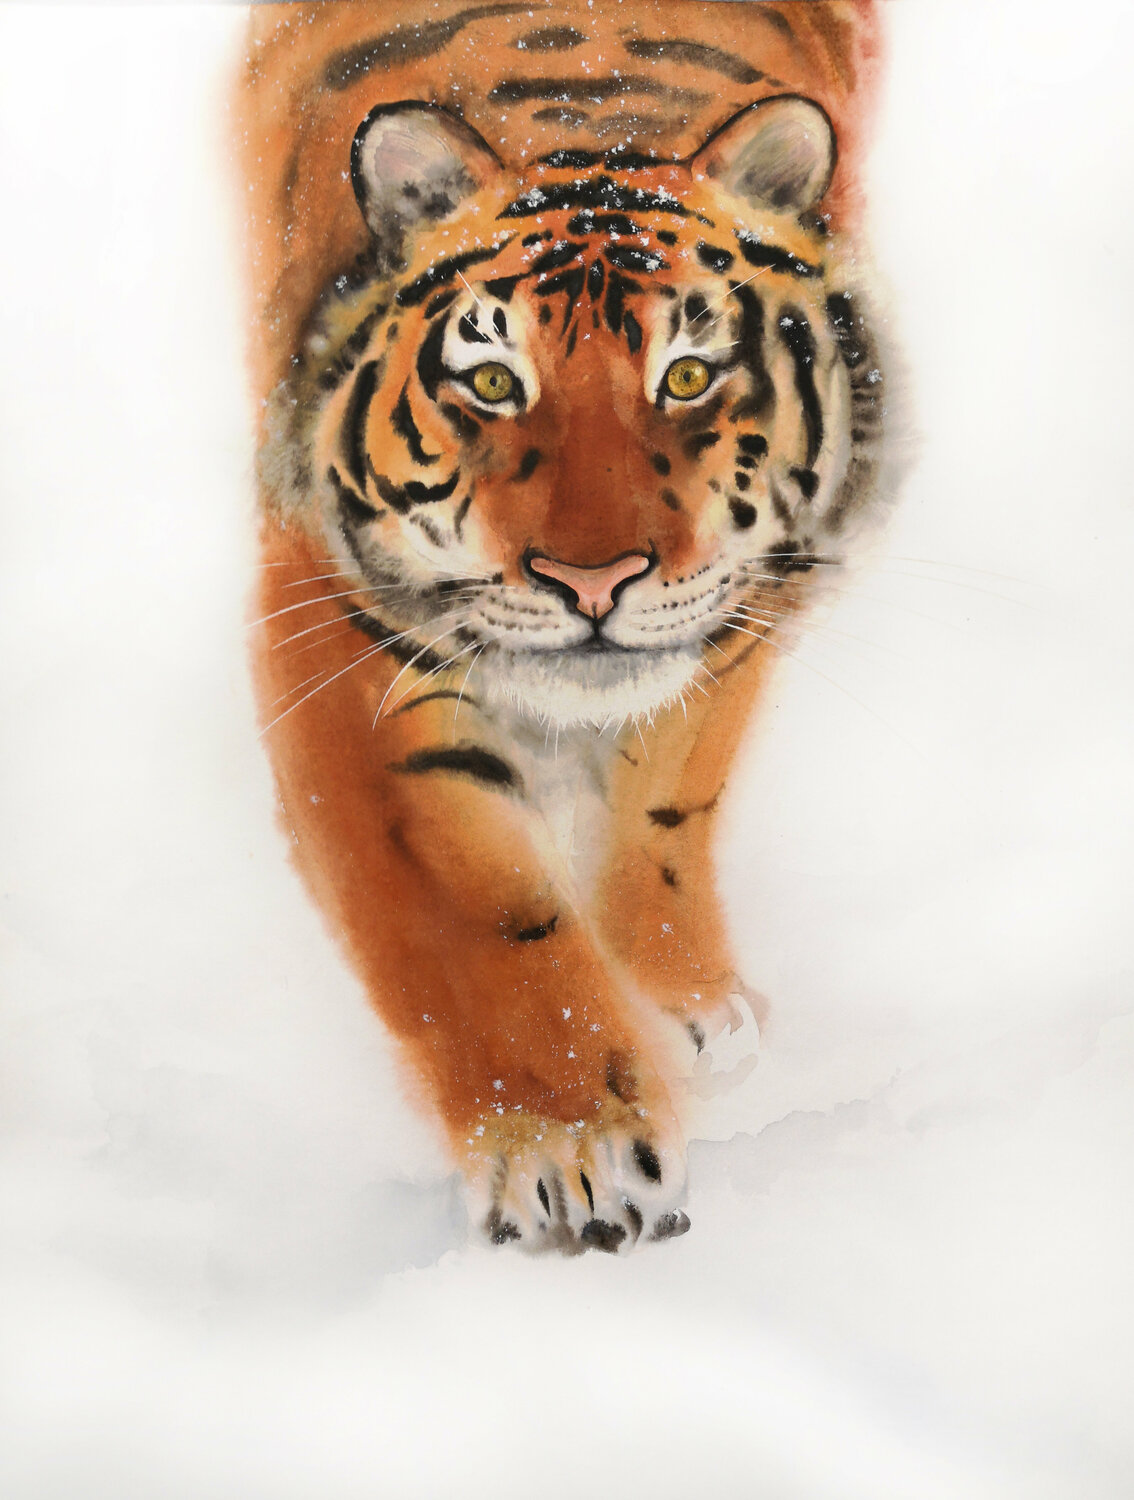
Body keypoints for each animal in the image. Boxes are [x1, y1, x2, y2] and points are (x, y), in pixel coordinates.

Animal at [237, 0, 886, 1252]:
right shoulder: (344, 637)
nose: (593, 581)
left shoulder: (740, 606)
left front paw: (687, 1007)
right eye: (493, 383)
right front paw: (572, 1154)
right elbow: (481, 921)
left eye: (687, 377)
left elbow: (667, 805)